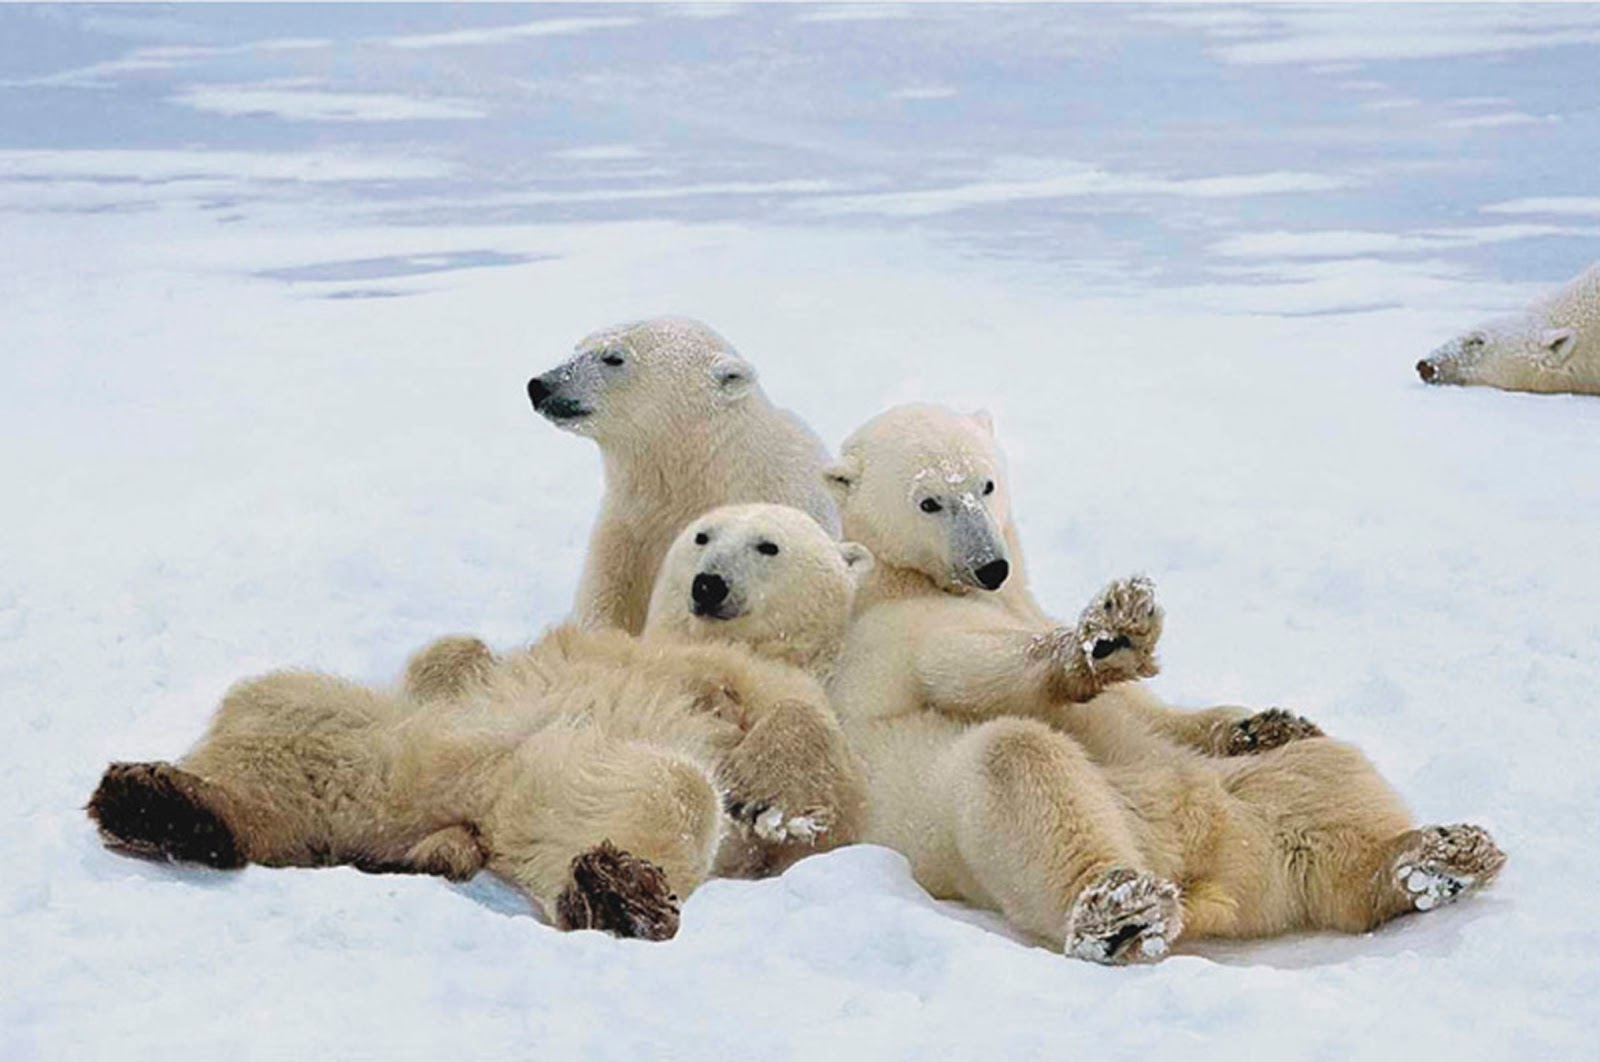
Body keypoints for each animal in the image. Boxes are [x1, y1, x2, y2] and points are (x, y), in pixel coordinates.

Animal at [87, 504, 871, 940]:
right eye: (704, 534)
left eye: (768, 544)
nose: (709, 583)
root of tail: (443, 819)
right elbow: (455, 661)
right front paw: (455, 660)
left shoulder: (764, 680)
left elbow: (796, 721)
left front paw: (772, 801)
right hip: (388, 747)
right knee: (278, 705)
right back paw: (162, 801)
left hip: (547, 780)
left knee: (668, 790)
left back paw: (619, 891)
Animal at [822, 403, 1505, 962]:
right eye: (928, 501)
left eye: (985, 483)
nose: (992, 565)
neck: (908, 579)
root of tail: (1210, 874)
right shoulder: (895, 632)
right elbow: (971, 671)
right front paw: (1106, 637)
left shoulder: (1019, 605)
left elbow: (1154, 714)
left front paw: (1264, 723)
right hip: (984, 825)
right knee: (1017, 761)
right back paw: (1118, 911)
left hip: (1244, 799)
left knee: (1324, 778)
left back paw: (1435, 858)